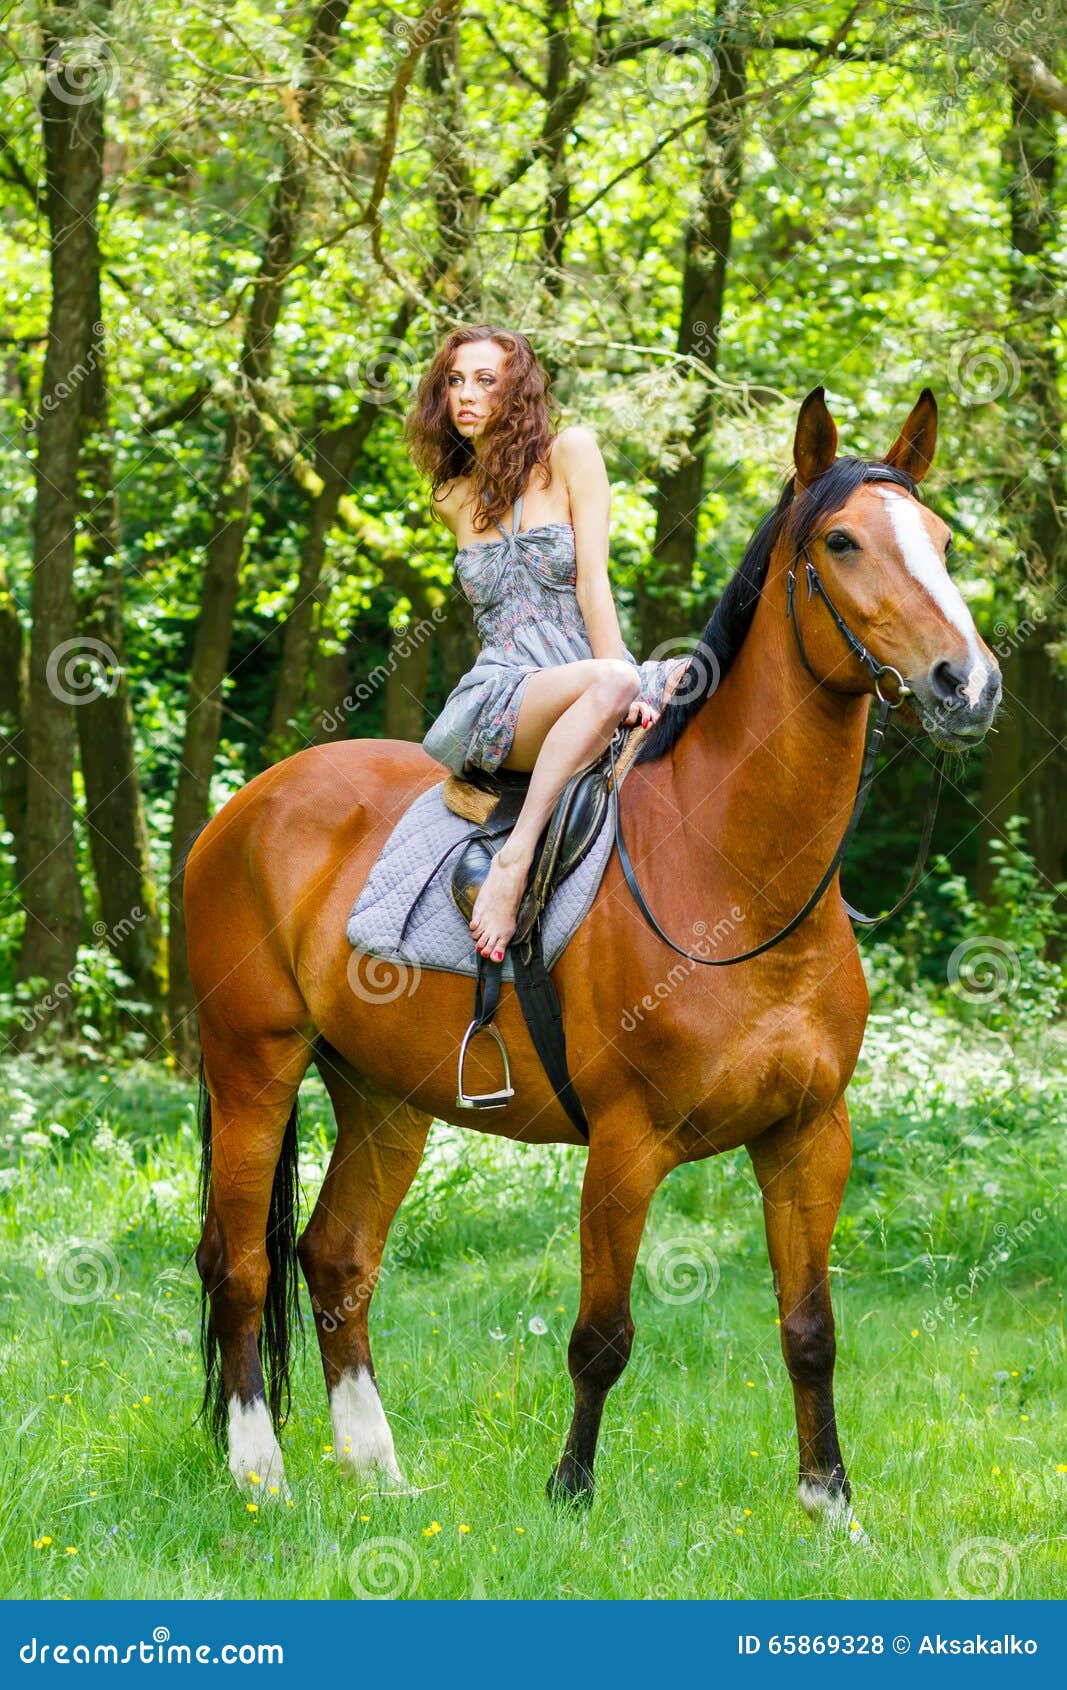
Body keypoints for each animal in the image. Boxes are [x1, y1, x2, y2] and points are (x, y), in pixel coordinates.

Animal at [185, 386, 1001, 1526]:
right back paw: (260, 1470)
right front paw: (569, 1491)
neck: (729, 878)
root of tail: (248, 806)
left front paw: (828, 1505)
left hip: (384, 1099)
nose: (965, 684)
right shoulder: (626, 1144)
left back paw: (378, 1472)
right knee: (241, 1270)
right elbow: (601, 1338)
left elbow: (809, 1331)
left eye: (938, 540)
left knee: (336, 1258)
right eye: (841, 542)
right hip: (253, 1067)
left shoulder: (809, 1139)